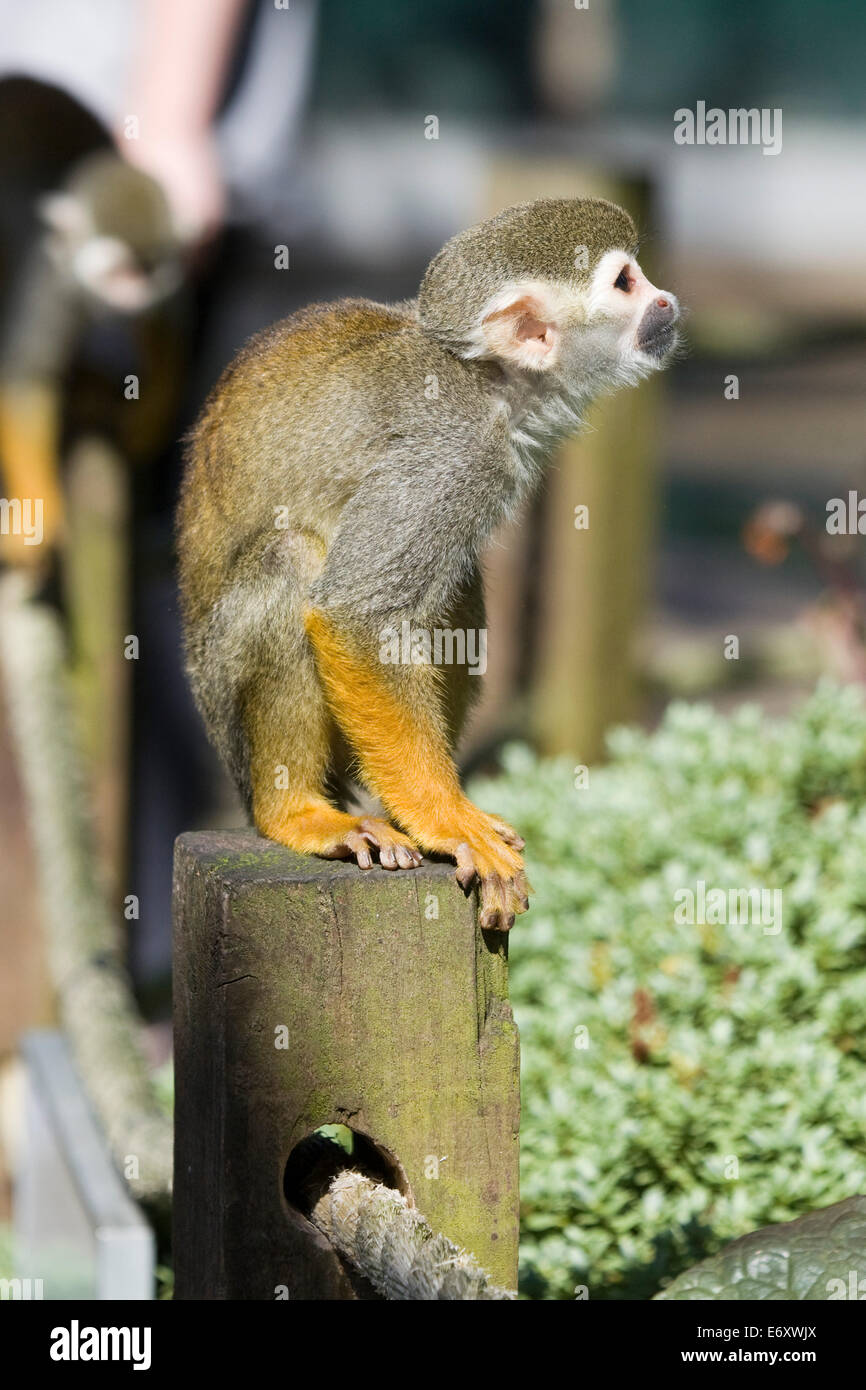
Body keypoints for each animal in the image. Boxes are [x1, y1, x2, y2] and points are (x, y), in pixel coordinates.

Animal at [177, 197, 680, 931]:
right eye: (625, 283)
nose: (666, 301)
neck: (489, 385)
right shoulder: (450, 455)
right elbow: (357, 614)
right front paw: (447, 820)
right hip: (221, 699)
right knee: (292, 560)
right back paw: (294, 812)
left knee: (455, 583)